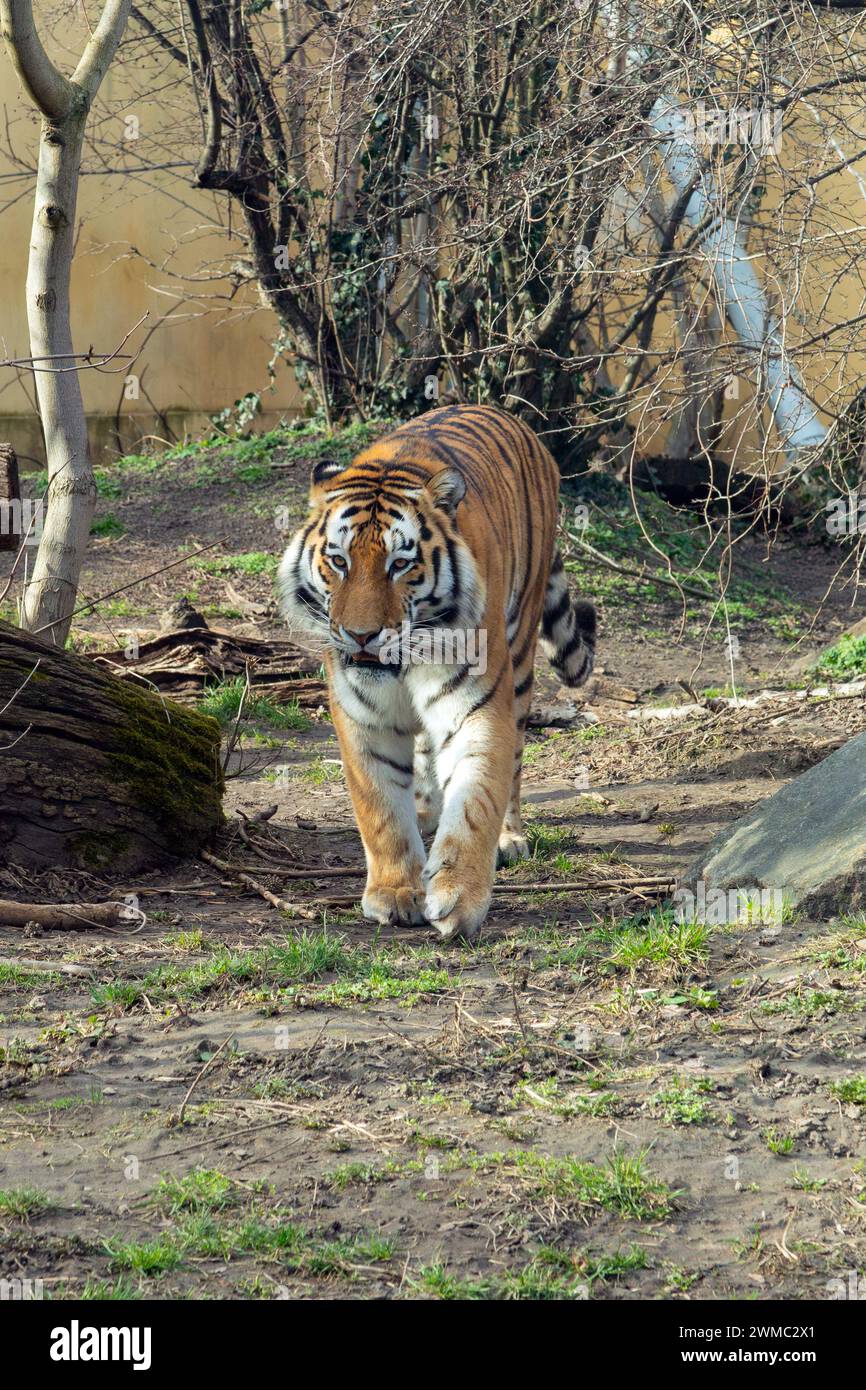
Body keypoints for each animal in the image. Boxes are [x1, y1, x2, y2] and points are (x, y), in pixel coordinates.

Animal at [277, 403, 596, 941]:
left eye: (400, 564)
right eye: (338, 561)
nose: (361, 635)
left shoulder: (478, 707)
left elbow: (476, 801)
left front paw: (457, 898)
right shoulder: (362, 718)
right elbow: (380, 807)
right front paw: (394, 892)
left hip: (521, 652)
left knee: (514, 760)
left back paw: (509, 837)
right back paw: (426, 810)